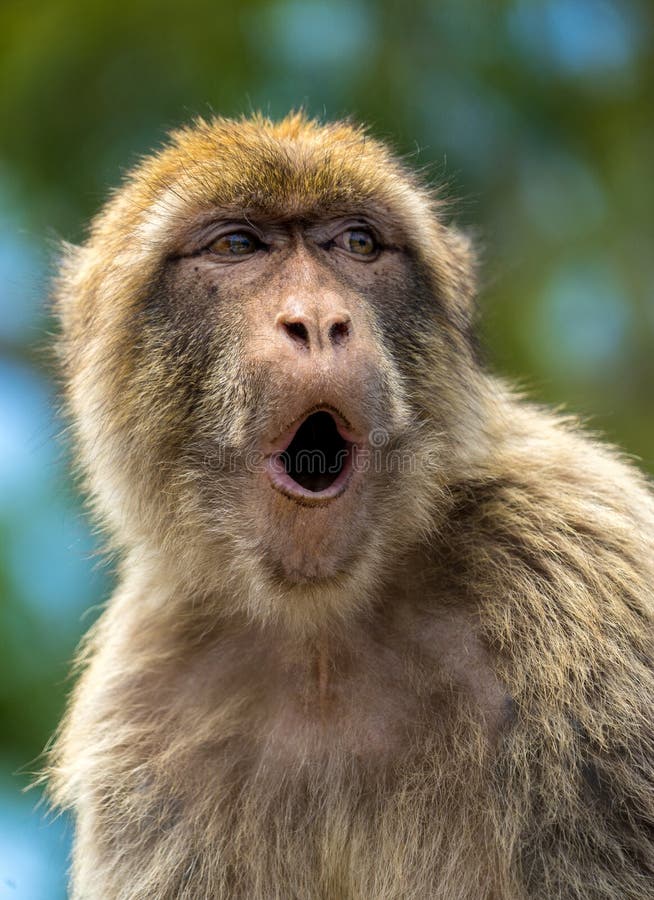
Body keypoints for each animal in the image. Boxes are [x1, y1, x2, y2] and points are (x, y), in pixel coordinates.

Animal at [47, 112, 654, 899]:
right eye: (236, 246)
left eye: (358, 244)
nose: (318, 320)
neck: (322, 633)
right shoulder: (144, 713)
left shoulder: (583, 594)